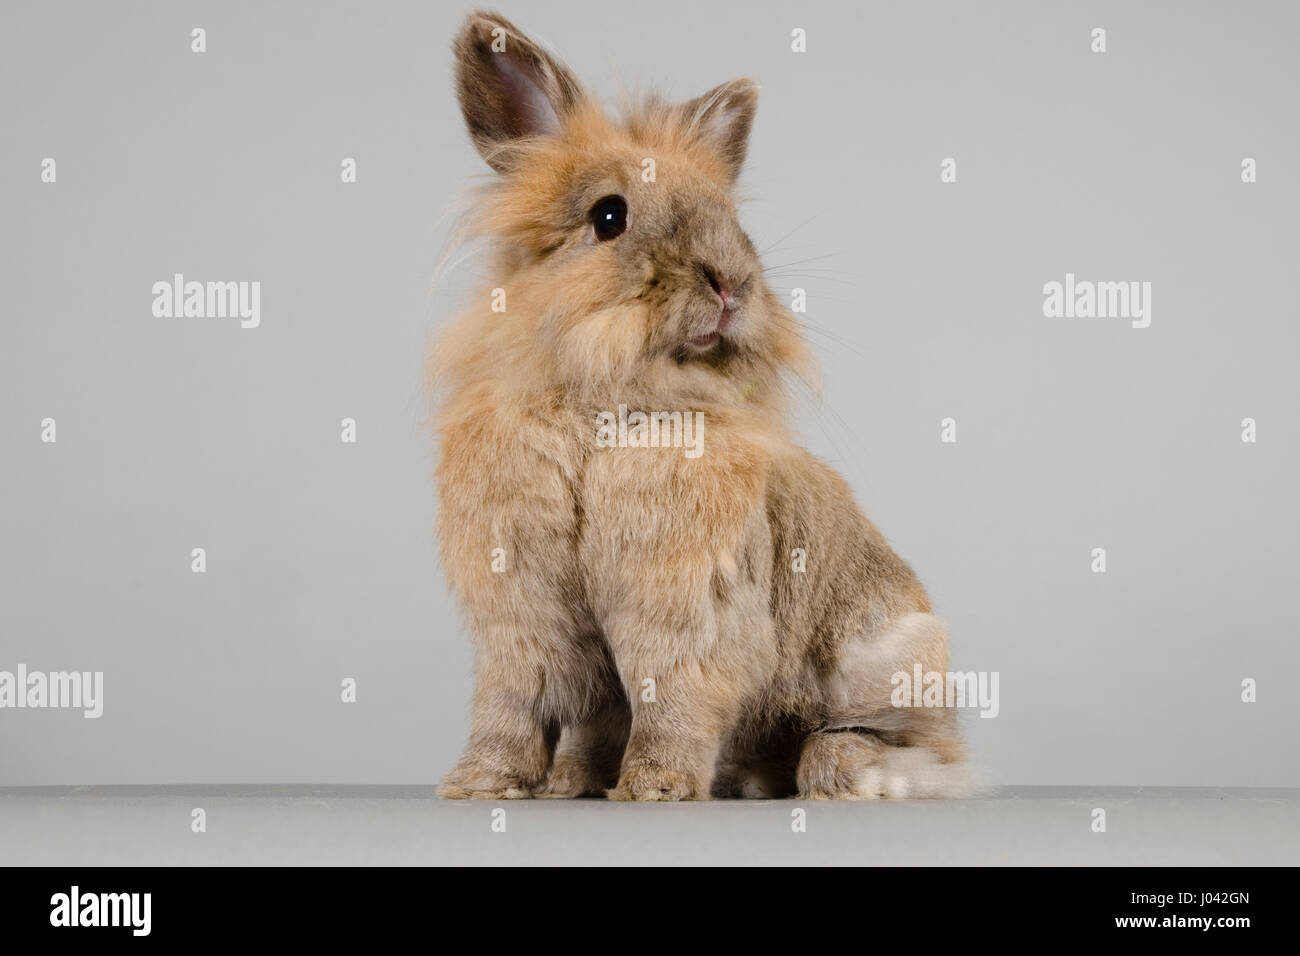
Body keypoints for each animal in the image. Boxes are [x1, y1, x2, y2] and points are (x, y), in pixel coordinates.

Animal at [431, 10, 976, 800]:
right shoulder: (519, 610)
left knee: (910, 746)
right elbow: (514, 701)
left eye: (732, 222)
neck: (608, 410)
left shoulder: (684, 611)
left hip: (891, 658)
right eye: (608, 216)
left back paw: (846, 773)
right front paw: (481, 784)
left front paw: (655, 788)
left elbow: (673, 698)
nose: (730, 283)